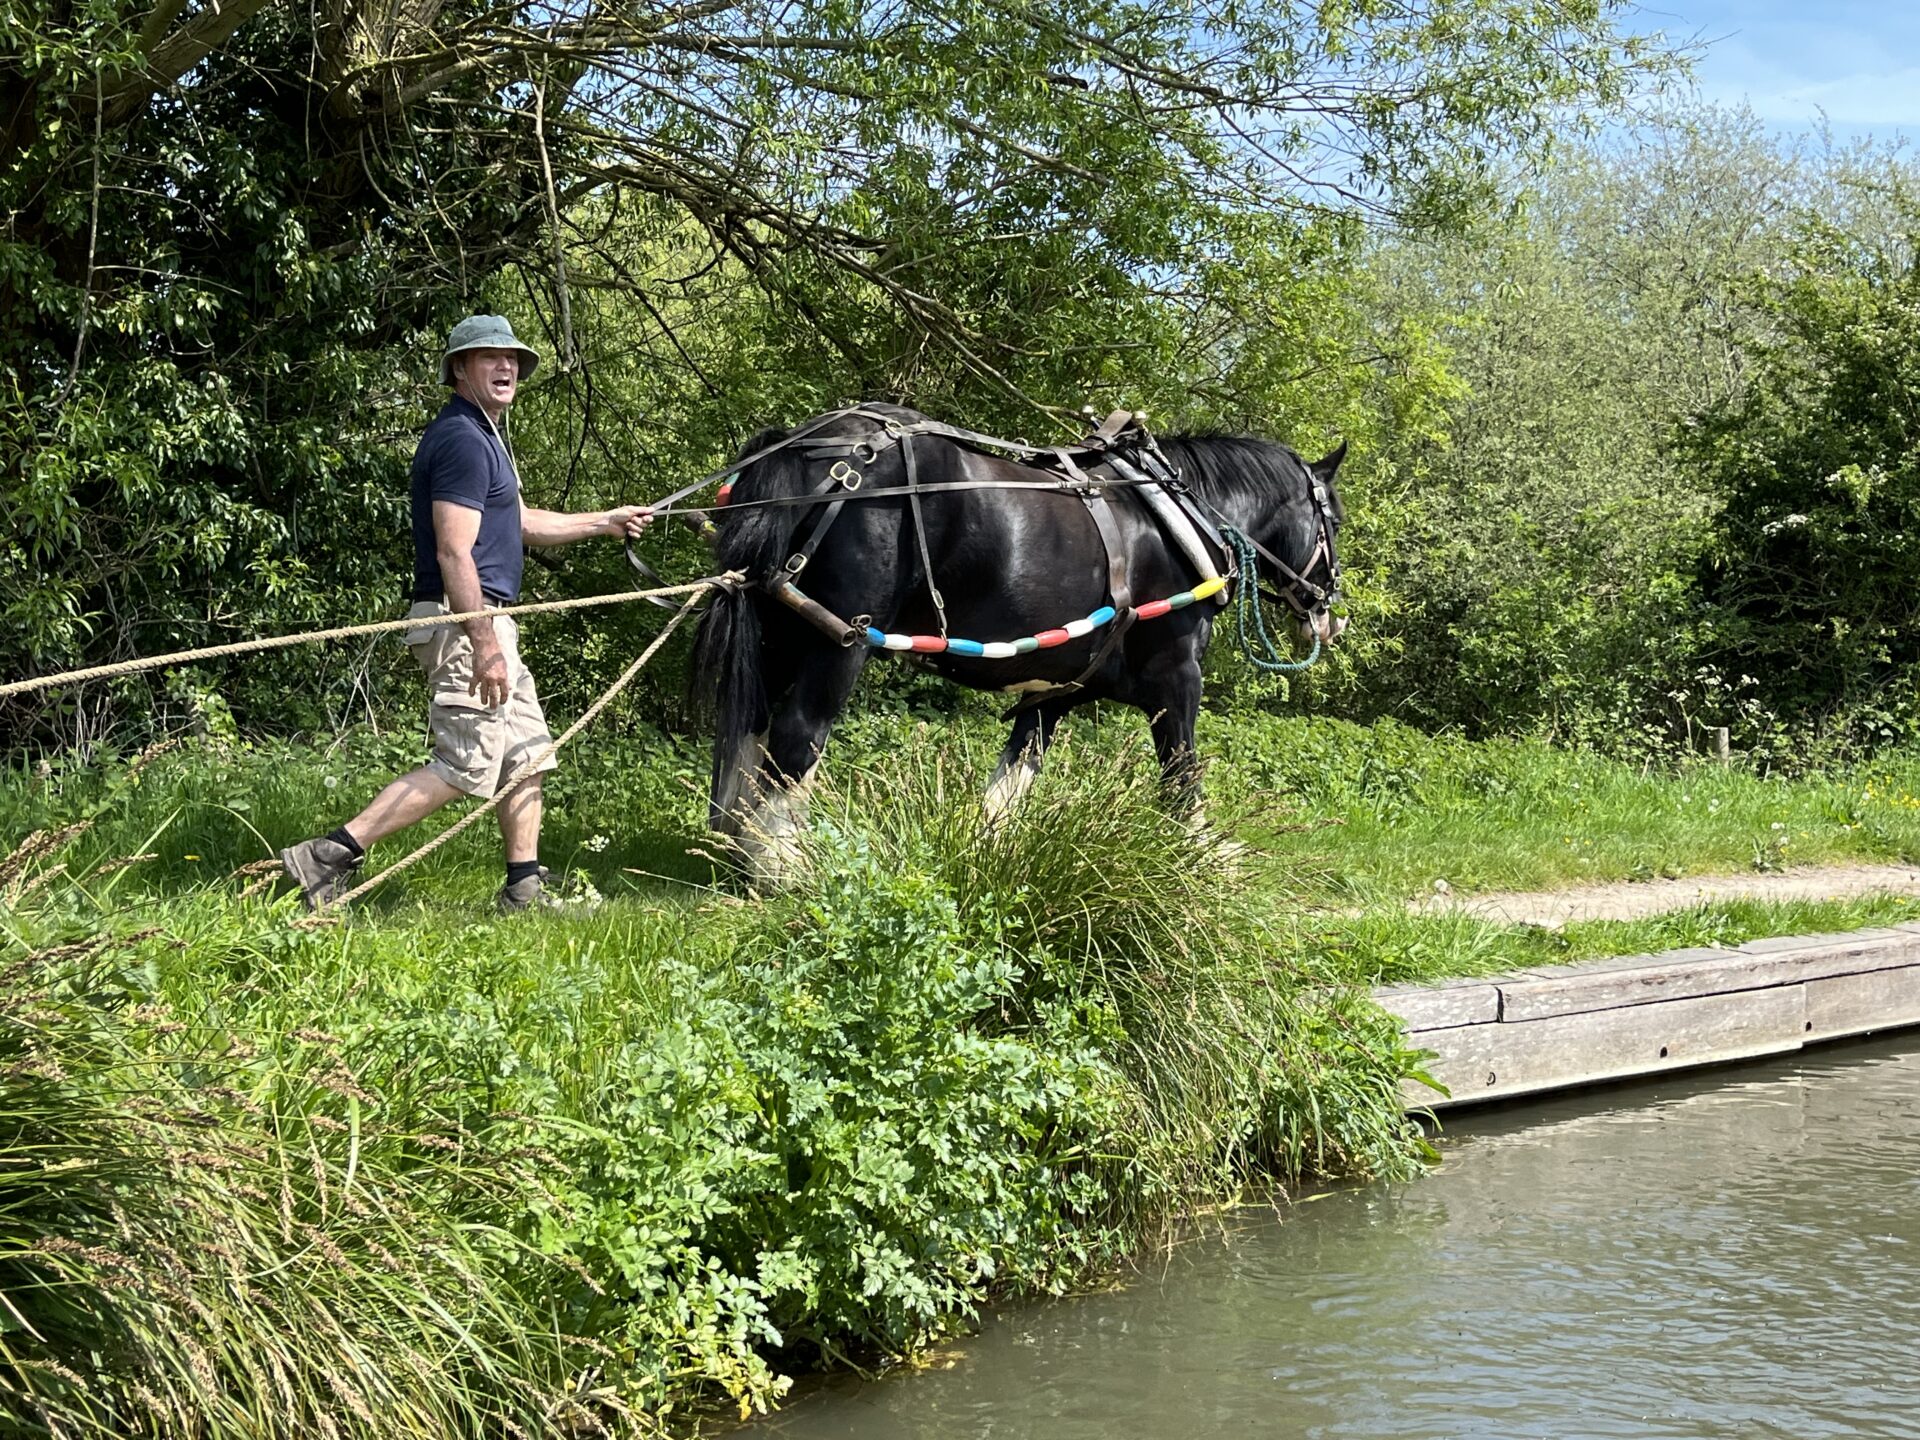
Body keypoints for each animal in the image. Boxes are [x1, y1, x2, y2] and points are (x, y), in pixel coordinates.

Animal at [688, 403, 1347, 883]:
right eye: (1333, 521)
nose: (1329, 615)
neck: (1176, 518)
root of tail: (806, 445)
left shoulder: (1053, 691)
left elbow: (1010, 783)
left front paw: (985, 853)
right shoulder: (1177, 678)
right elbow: (1183, 779)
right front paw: (1201, 863)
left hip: (780, 636)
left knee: (750, 726)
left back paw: (737, 848)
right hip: (838, 642)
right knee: (797, 737)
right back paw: (780, 868)